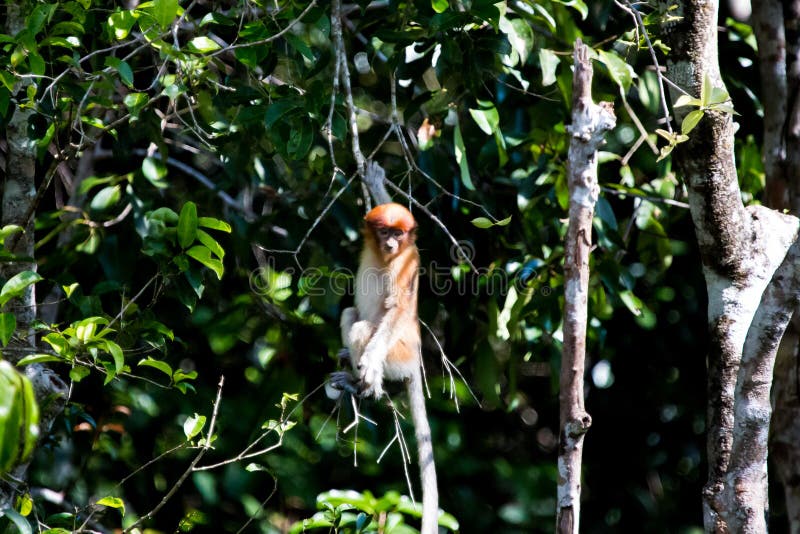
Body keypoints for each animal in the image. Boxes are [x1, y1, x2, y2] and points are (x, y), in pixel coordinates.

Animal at [330, 202, 439, 534]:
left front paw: (368, 367)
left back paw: (366, 387)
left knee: (363, 328)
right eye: (384, 231)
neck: (383, 257)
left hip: (399, 355)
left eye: (398, 234)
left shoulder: (406, 260)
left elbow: (396, 308)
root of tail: (415, 362)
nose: (391, 244)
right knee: (350, 313)